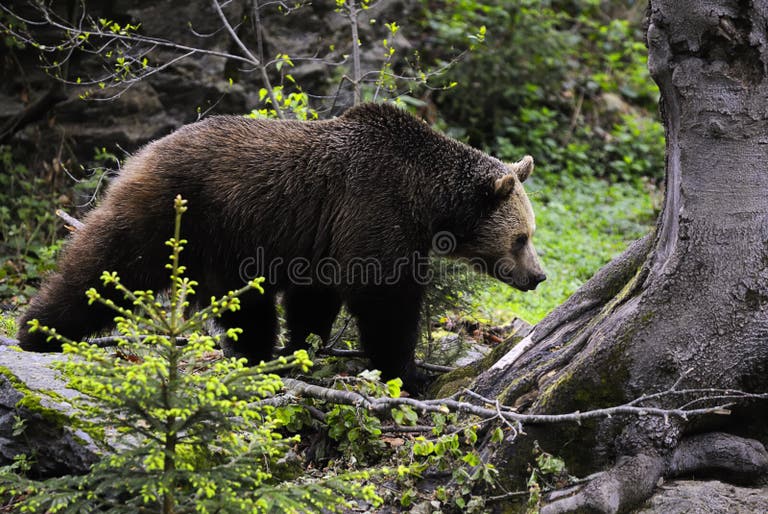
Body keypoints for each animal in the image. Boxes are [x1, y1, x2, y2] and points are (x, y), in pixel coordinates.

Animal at [16, 102, 545, 390]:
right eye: (521, 237)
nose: (538, 276)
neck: (427, 198)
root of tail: (142, 151)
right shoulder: (373, 205)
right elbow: (384, 298)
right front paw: (410, 371)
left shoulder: (325, 236)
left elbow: (315, 299)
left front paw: (301, 348)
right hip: (178, 211)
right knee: (109, 262)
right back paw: (38, 329)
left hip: (221, 243)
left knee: (242, 305)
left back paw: (257, 354)